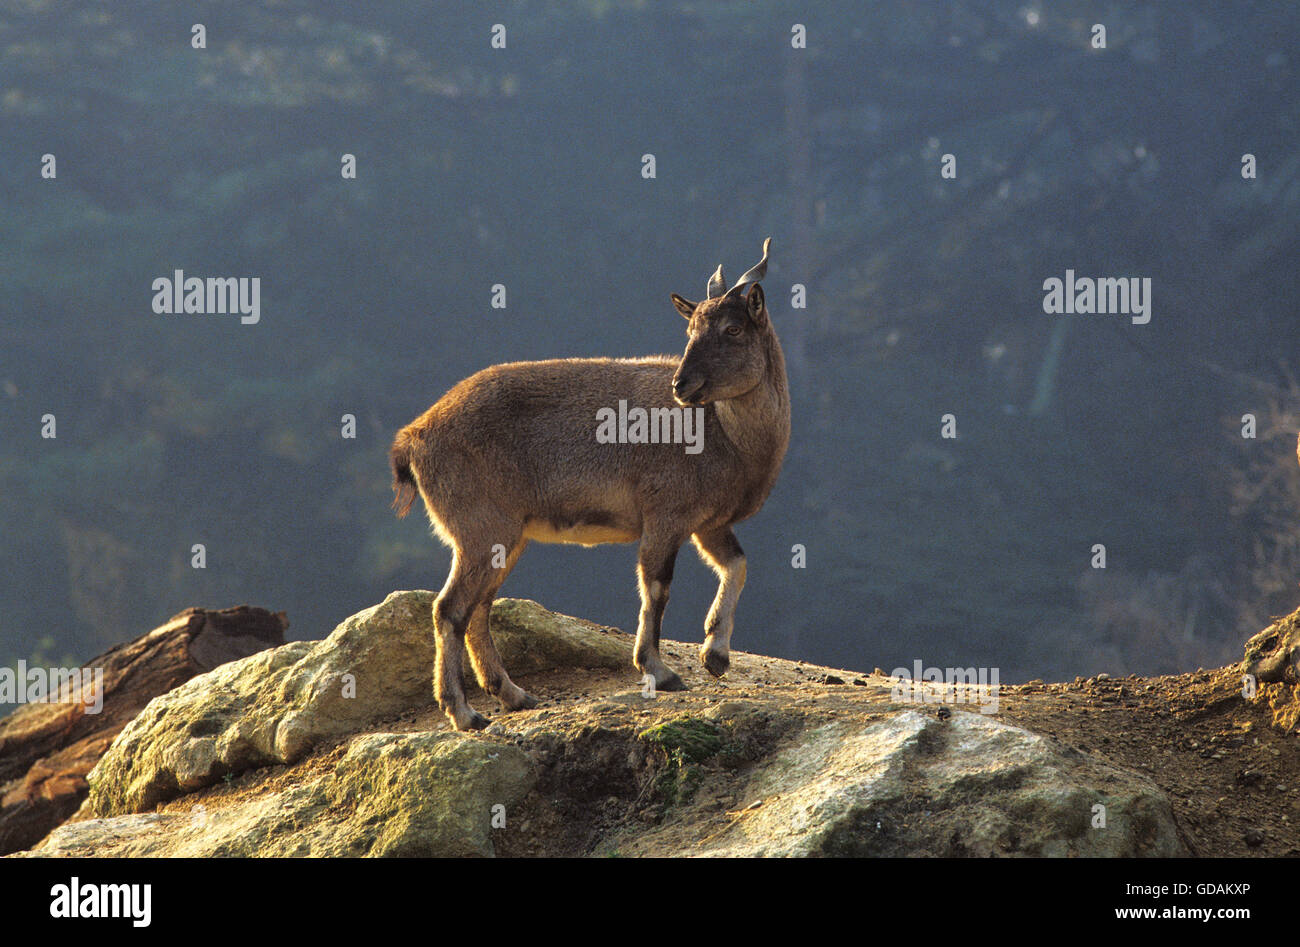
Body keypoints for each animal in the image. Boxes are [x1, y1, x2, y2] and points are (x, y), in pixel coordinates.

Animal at [390, 239, 790, 730]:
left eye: (733, 328)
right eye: (690, 329)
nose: (682, 385)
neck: (726, 437)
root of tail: (414, 438)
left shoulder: (707, 524)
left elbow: (737, 565)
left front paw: (715, 655)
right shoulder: (666, 515)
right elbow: (656, 587)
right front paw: (660, 670)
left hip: (505, 536)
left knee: (479, 607)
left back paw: (514, 695)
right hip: (481, 528)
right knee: (451, 609)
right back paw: (464, 713)